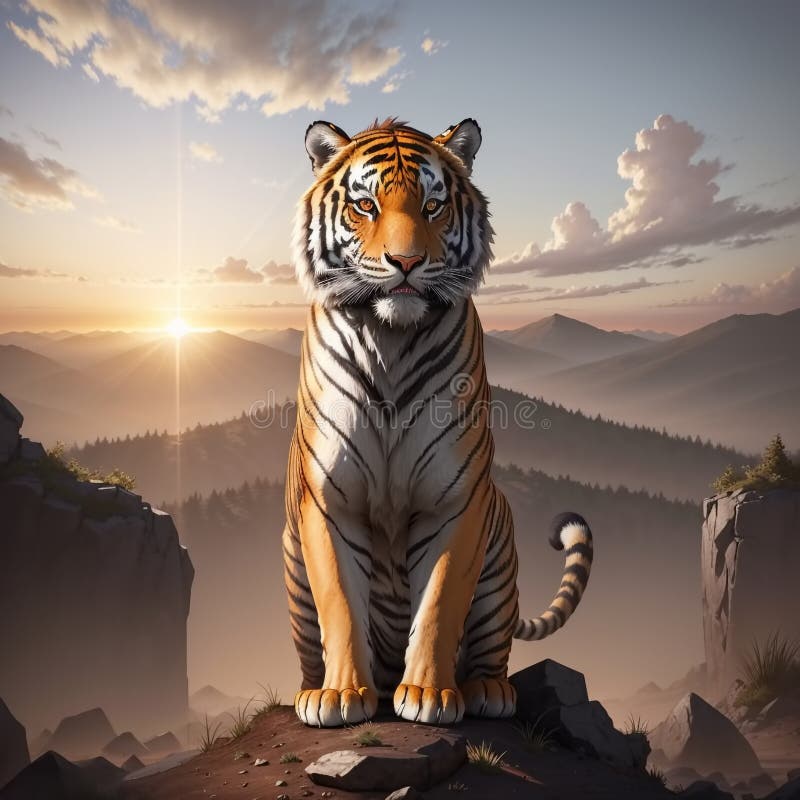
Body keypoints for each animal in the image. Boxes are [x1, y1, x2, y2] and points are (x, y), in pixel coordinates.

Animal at [283, 117, 593, 727]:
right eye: (365, 205)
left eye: (432, 205)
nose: (405, 263)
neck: (390, 340)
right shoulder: (328, 499)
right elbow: (340, 600)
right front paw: (340, 696)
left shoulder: (457, 497)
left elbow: (441, 600)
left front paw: (428, 694)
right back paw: (315, 689)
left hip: (500, 549)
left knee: (491, 641)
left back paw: (487, 690)